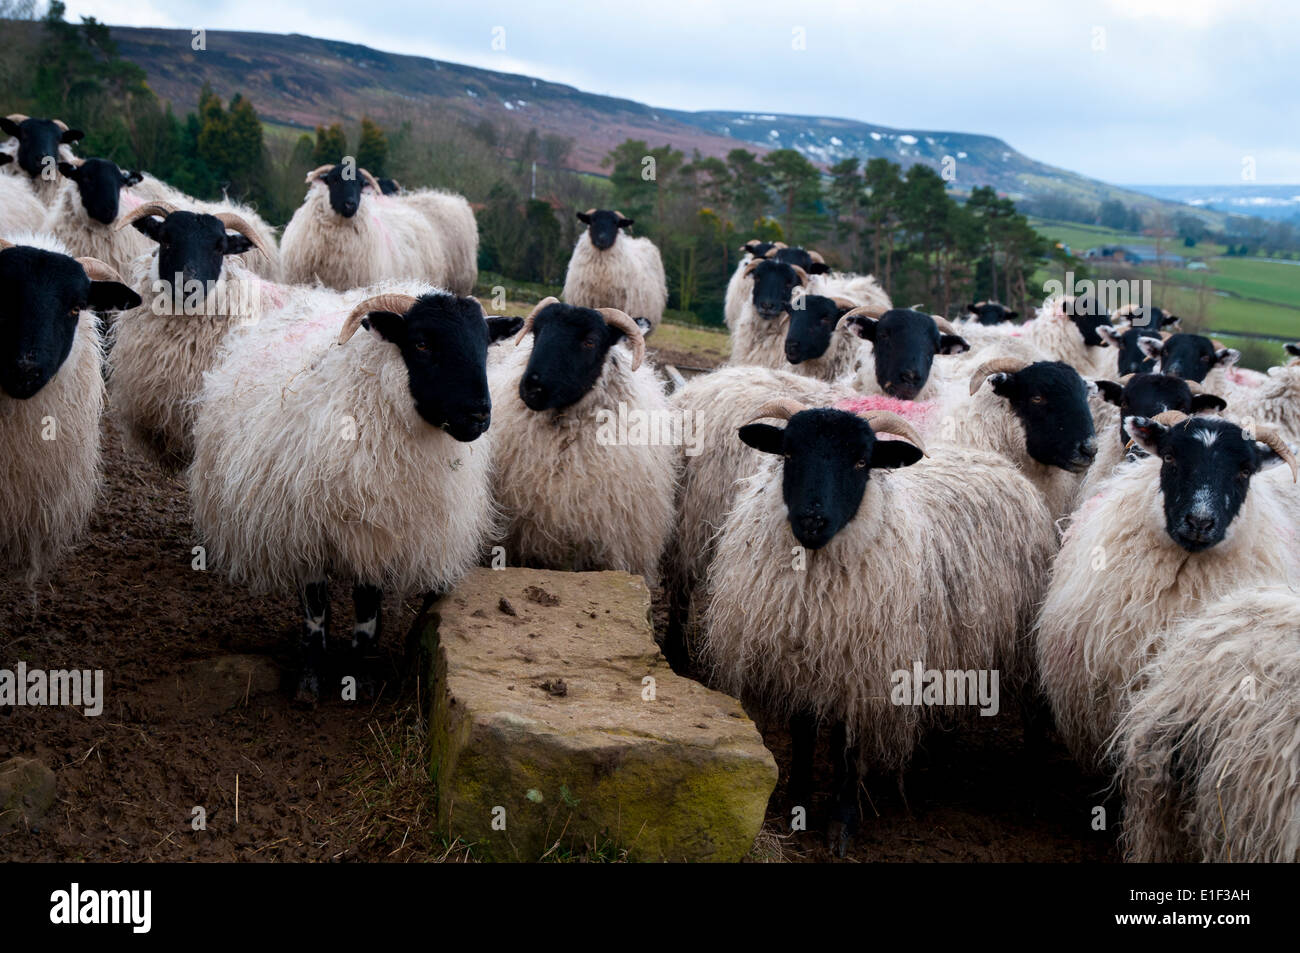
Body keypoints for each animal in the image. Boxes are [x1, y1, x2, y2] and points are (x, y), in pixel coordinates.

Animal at [189, 285, 517, 703]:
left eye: (484, 346)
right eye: (422, 343)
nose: (478, 416)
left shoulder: (378, 533)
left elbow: (367, 612)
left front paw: (361, 678)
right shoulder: (306, 531)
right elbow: (315, 612)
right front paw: (310, 682)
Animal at [701, 399, 1056, 854]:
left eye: (861, 461)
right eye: (789, 453)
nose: (812, 520)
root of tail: (1000, 462)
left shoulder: (867, 671)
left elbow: (848, 748)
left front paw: (841, 822)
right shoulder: (798, 657)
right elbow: (803, 732)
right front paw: (797, 807)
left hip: (1023, 637)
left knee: (1034, 712)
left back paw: (1033, 787)